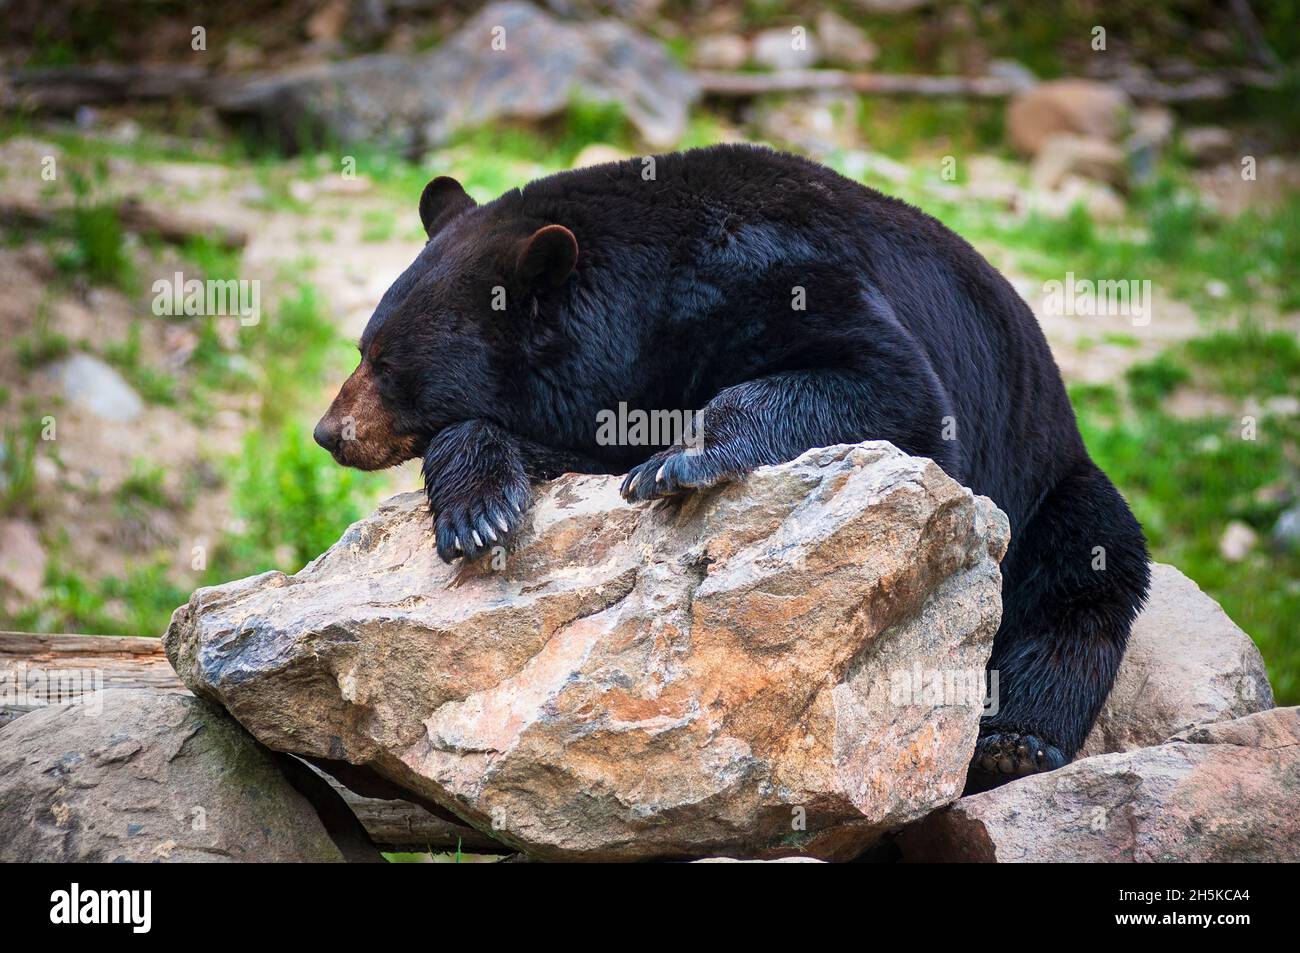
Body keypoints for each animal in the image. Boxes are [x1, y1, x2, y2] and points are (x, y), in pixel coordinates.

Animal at [313, 143, 1150, 792]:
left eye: (385, 363)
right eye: (363, 346)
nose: (328, 432)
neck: (650, 303)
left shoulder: (780, 268)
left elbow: (893, 389)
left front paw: (676, 461)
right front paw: (477, 509)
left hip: (1046, 479)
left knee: (1083, 578)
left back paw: (1017, 742)